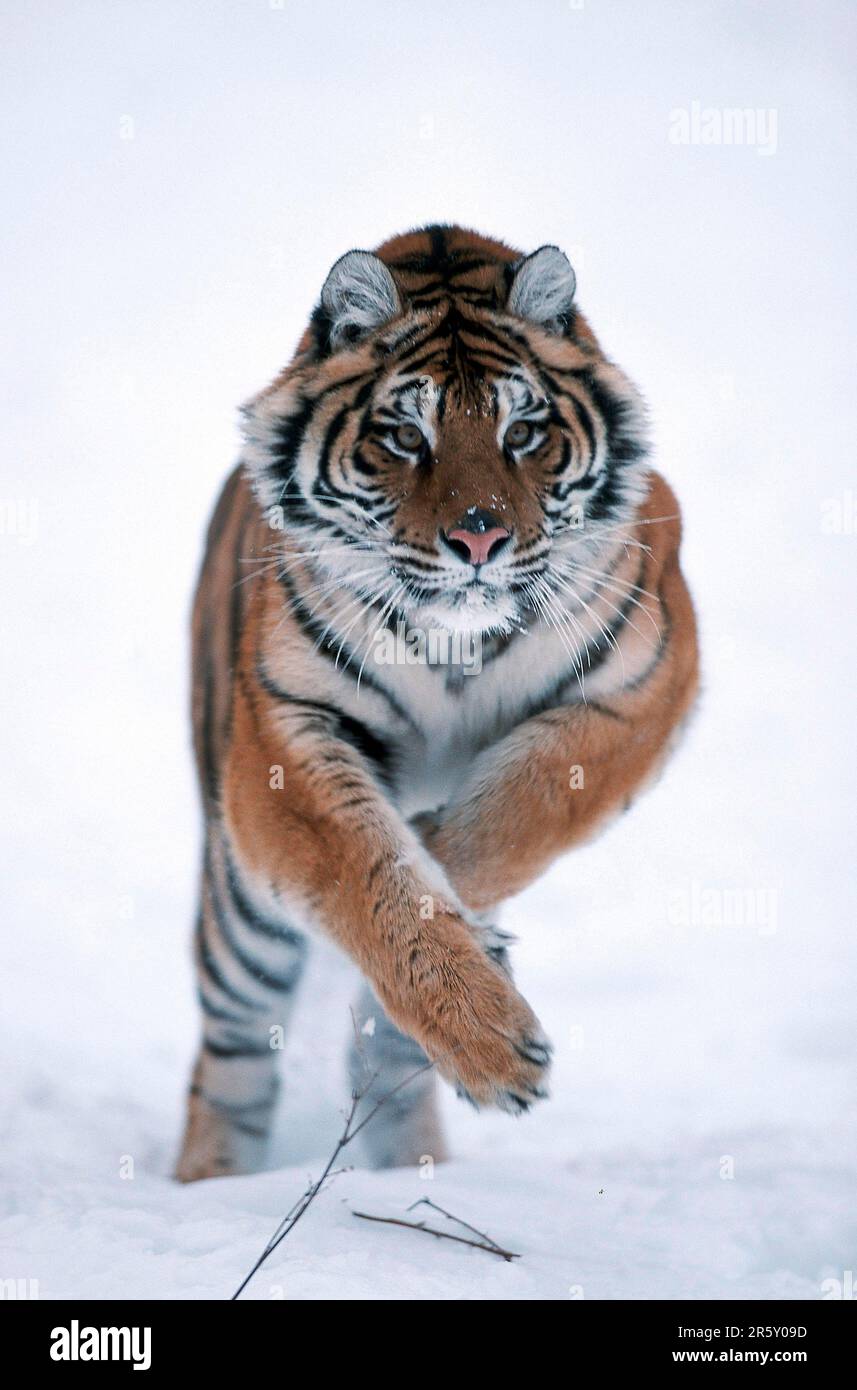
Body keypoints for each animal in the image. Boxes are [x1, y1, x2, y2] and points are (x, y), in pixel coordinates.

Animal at [176, 224, 699, 1182]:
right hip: (239, 925)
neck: (458, 643)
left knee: (381, 1065)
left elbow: (520, 811)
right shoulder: (285, 730)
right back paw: (210, 1187)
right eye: (403, 435)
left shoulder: (649, 676)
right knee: (231, 1059)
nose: (479, 539)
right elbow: (370, 873)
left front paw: (456, 893)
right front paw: (490, 1037)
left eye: (522, 431)